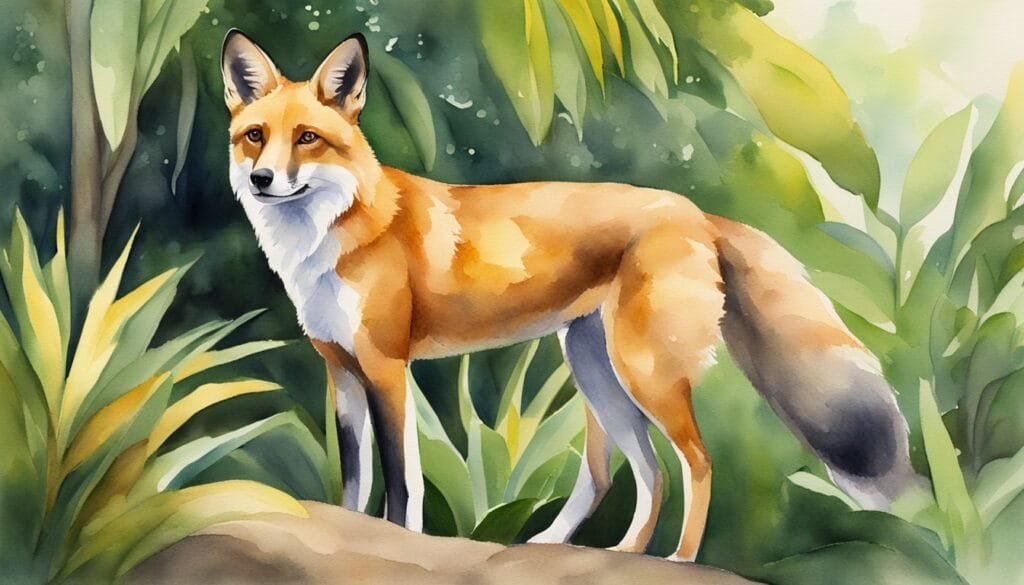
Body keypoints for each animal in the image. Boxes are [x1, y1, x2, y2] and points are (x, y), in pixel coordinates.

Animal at [220, 30, 917, 562]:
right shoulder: (340, 371)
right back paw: (596, 553)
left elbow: (400, 486)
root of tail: (694, 211)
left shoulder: (387, 368)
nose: (262, 180)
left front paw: (397, 543)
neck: (331, 238)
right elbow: (352, 485)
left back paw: (680, 560)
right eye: (255, 136)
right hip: (595, 371)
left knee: (696, 465)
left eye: (307, 138)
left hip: (643, 373)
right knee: (630, 475)